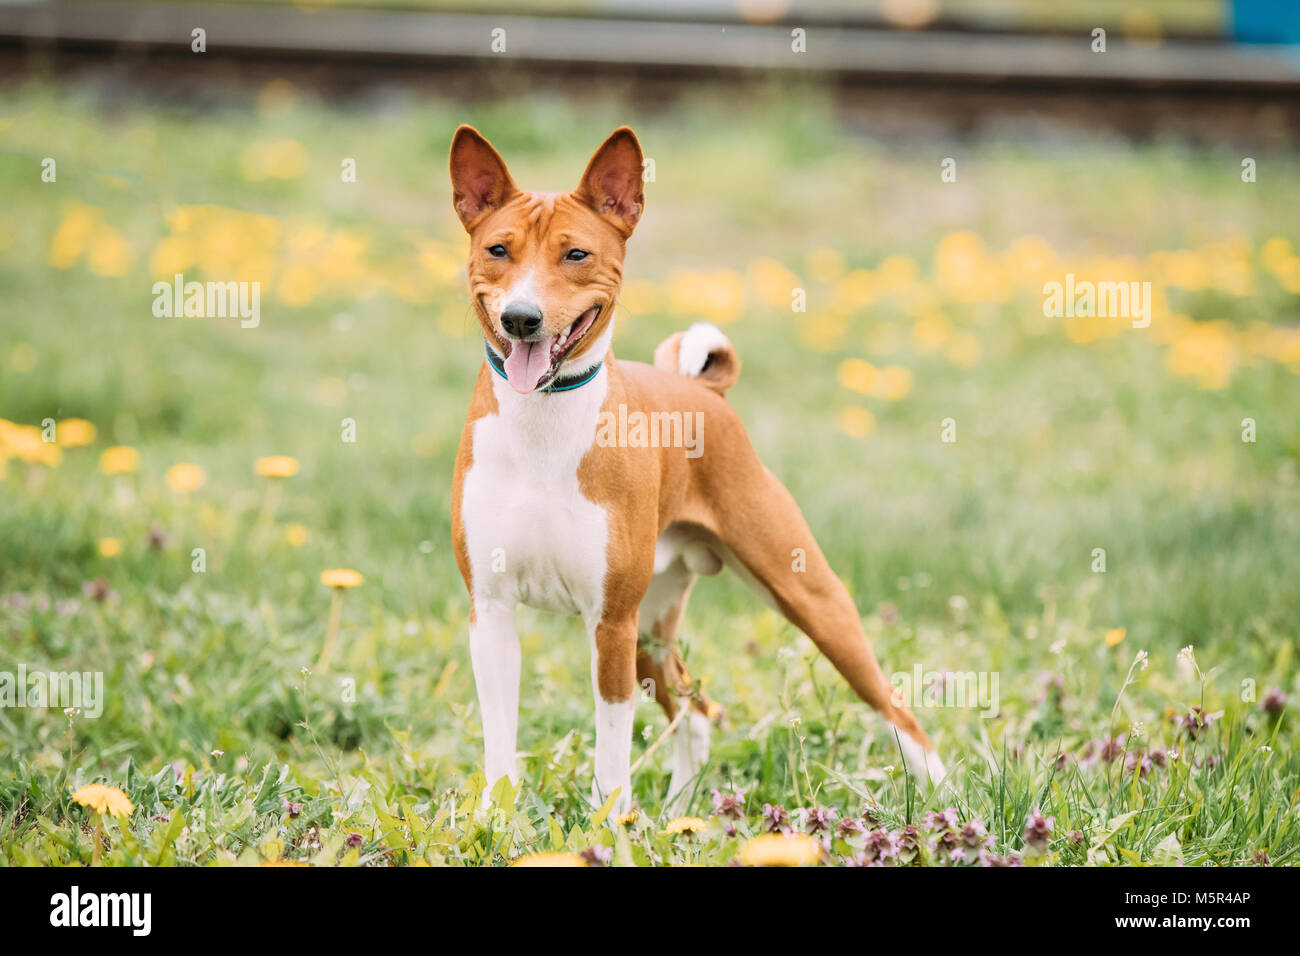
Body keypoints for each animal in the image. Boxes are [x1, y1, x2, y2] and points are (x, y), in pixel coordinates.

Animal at [449, 125, 946, 816]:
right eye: (498, 249)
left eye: (575, 254)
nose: (522, 318)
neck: (542, 426)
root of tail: (705, 391)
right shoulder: (492, 613)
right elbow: (501, 745)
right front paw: (498, 822)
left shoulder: (611, 623)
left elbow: (611, 750)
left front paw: (608, 823)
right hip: (655, 630)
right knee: (699, 710)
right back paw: (680, 812)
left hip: (806, 597)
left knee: (896, 707)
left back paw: (946, 800)